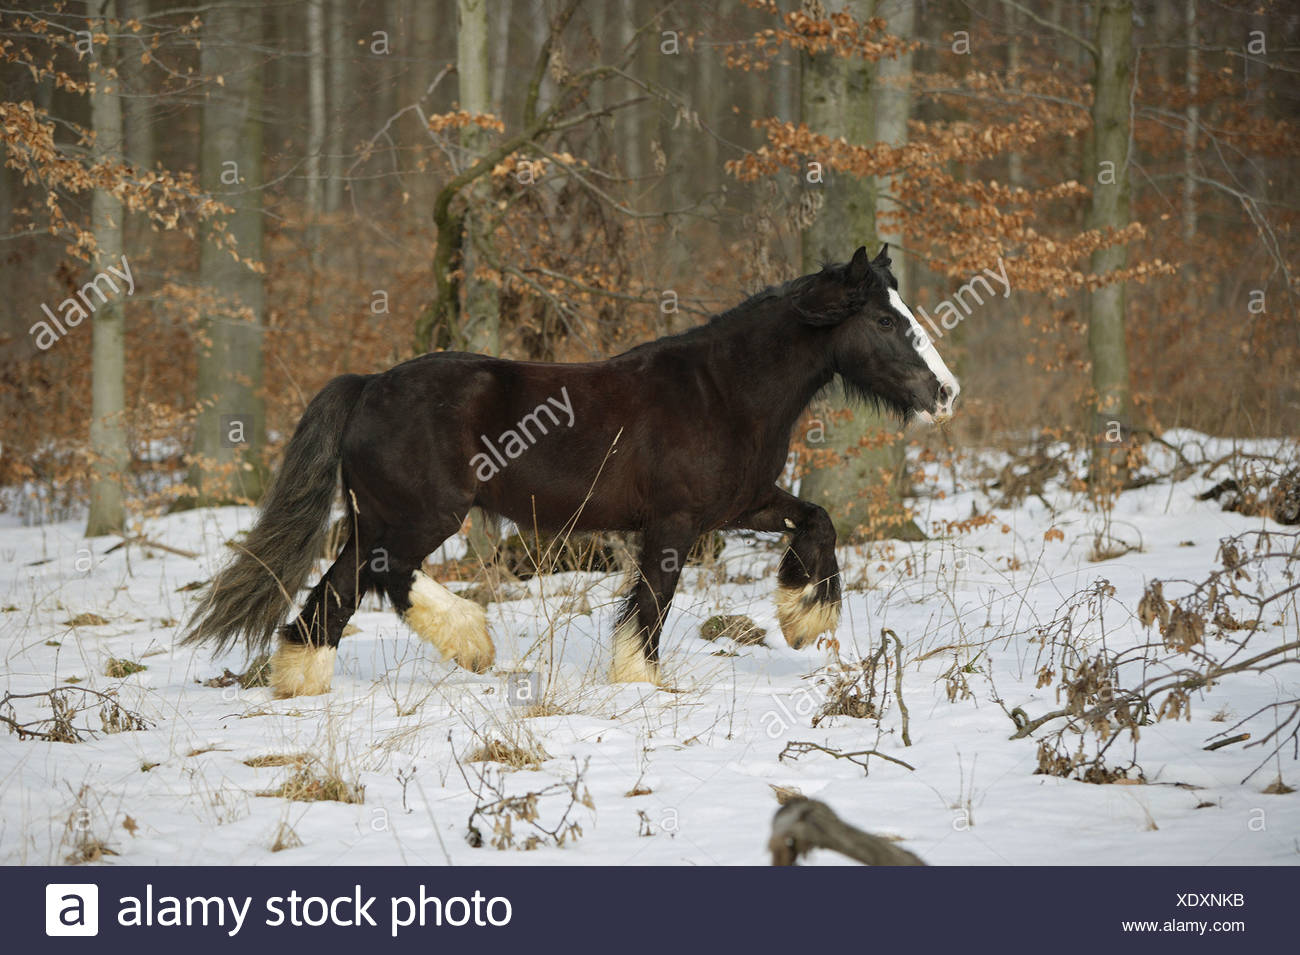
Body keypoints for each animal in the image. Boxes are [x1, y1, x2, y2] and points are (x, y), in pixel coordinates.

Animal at [181, 245, 959, 697]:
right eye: (885, 322)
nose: (945, 393)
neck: (722, 387)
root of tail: (369, 384)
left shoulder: (740, 504)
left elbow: (818, 520)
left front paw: (804, 618)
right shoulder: (676, 520)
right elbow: (652, 603)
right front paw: (641, 681)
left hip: (380, 516)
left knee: (337, 594)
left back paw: (303, 682)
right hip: (421, 514)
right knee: (382, 575)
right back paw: (473, 643)